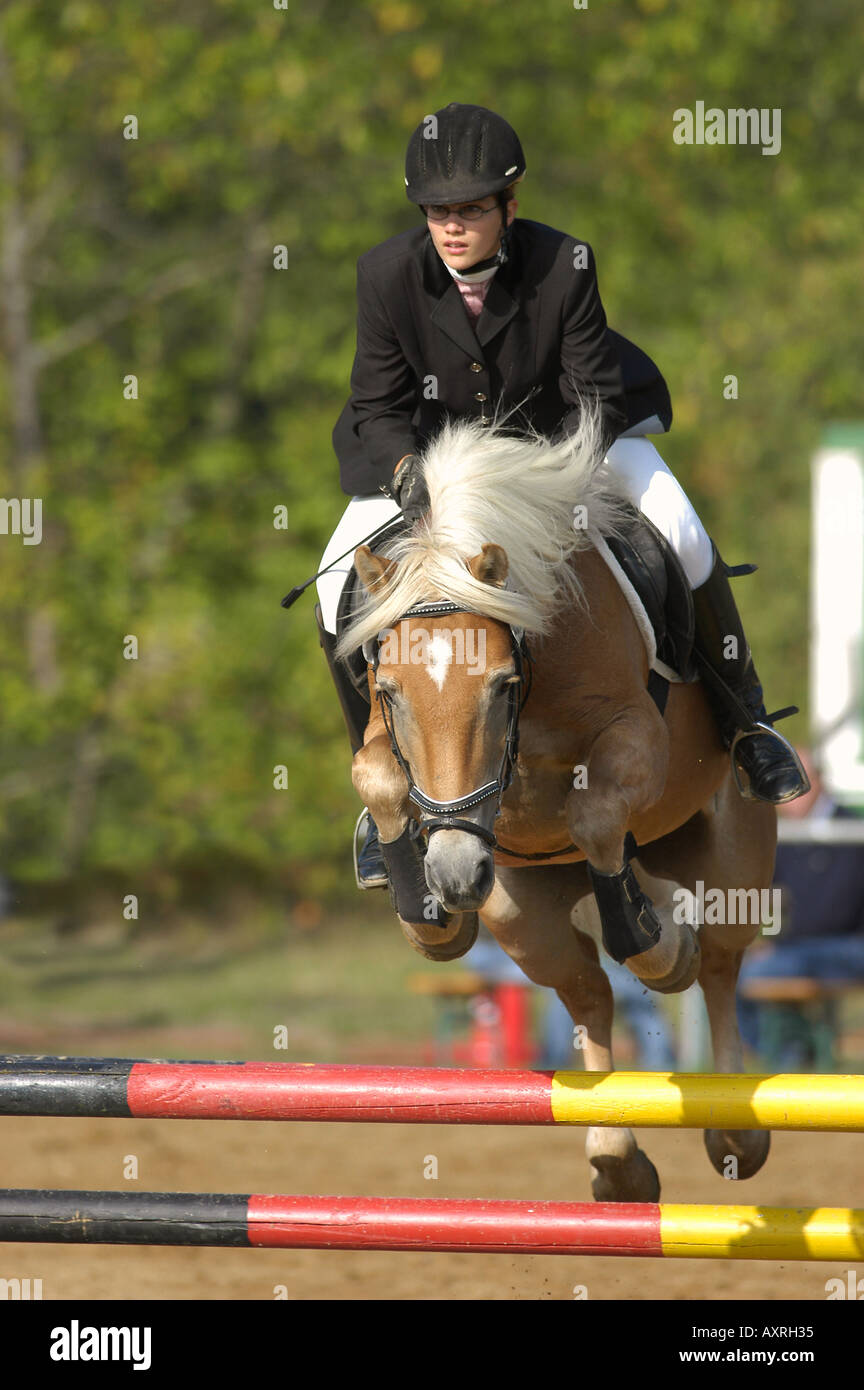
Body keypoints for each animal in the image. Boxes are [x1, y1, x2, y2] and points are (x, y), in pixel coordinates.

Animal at [337, 402, 775, 1202]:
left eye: (503, 686)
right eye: (386, 690)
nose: (456, 877)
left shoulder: (637, 737)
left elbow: (593, 812)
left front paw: (656, 943)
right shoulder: (391, 751)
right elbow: (377, 776)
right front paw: (428, 916)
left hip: (733, 860)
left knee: (720, 963)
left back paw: (732, 1123)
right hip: (520, 911)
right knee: (588, 990)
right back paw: (616, 1157)